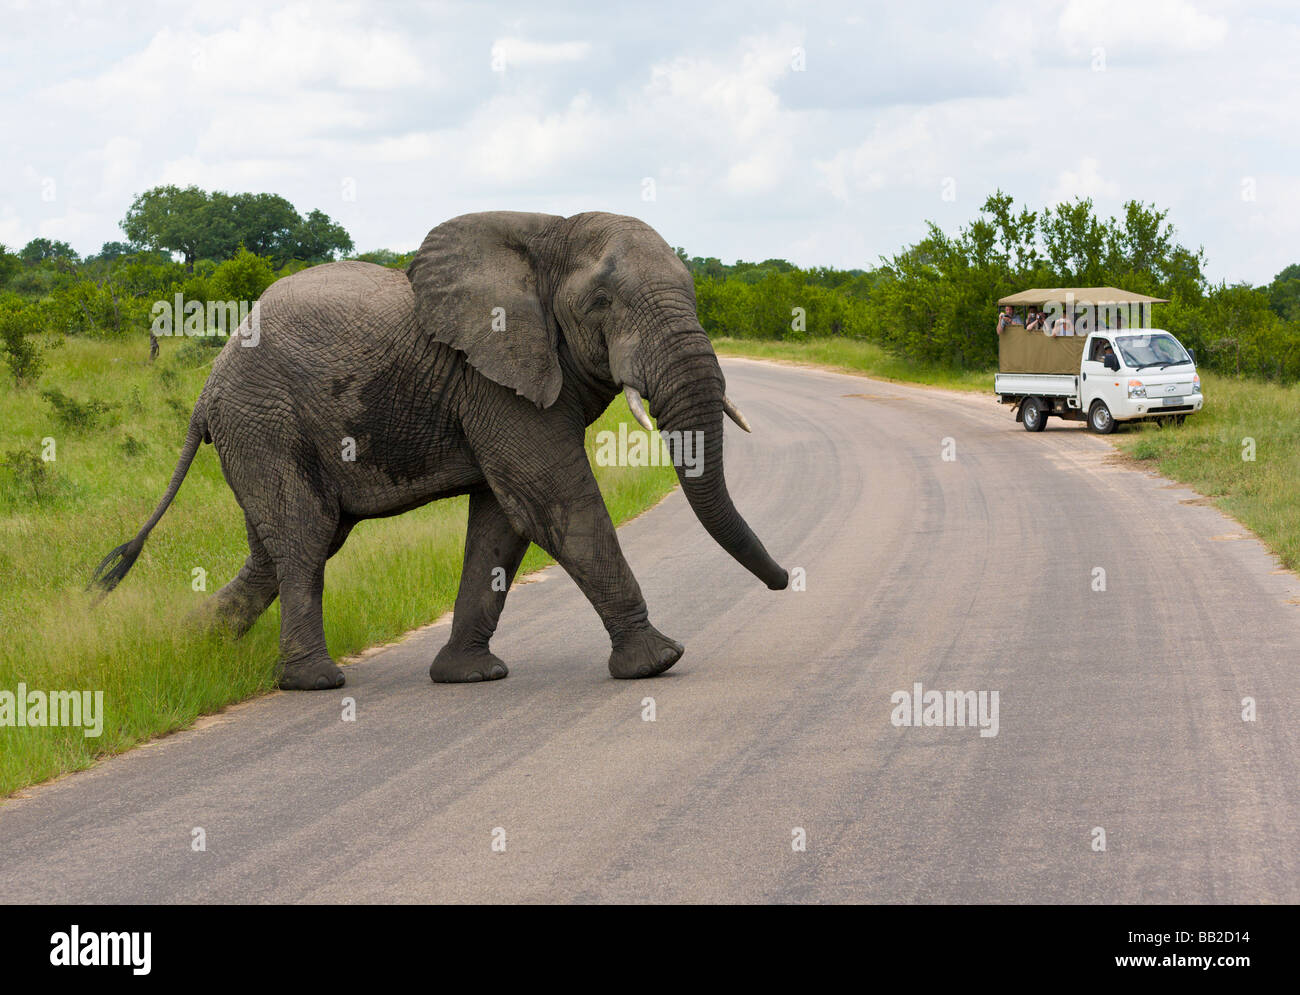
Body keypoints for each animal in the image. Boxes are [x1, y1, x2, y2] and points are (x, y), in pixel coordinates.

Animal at [91, 211, 788, 690]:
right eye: (601, 304)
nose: (784, 581)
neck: (550, 232)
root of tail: (208, 386)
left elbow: (504, 521)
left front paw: (469, 676)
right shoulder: (492, 379)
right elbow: (556, 501)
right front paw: (657, 662)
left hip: (259, 428)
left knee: (282, 547)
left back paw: (185, 648)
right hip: (262, 420)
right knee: (303, 536)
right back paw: (314, 682)